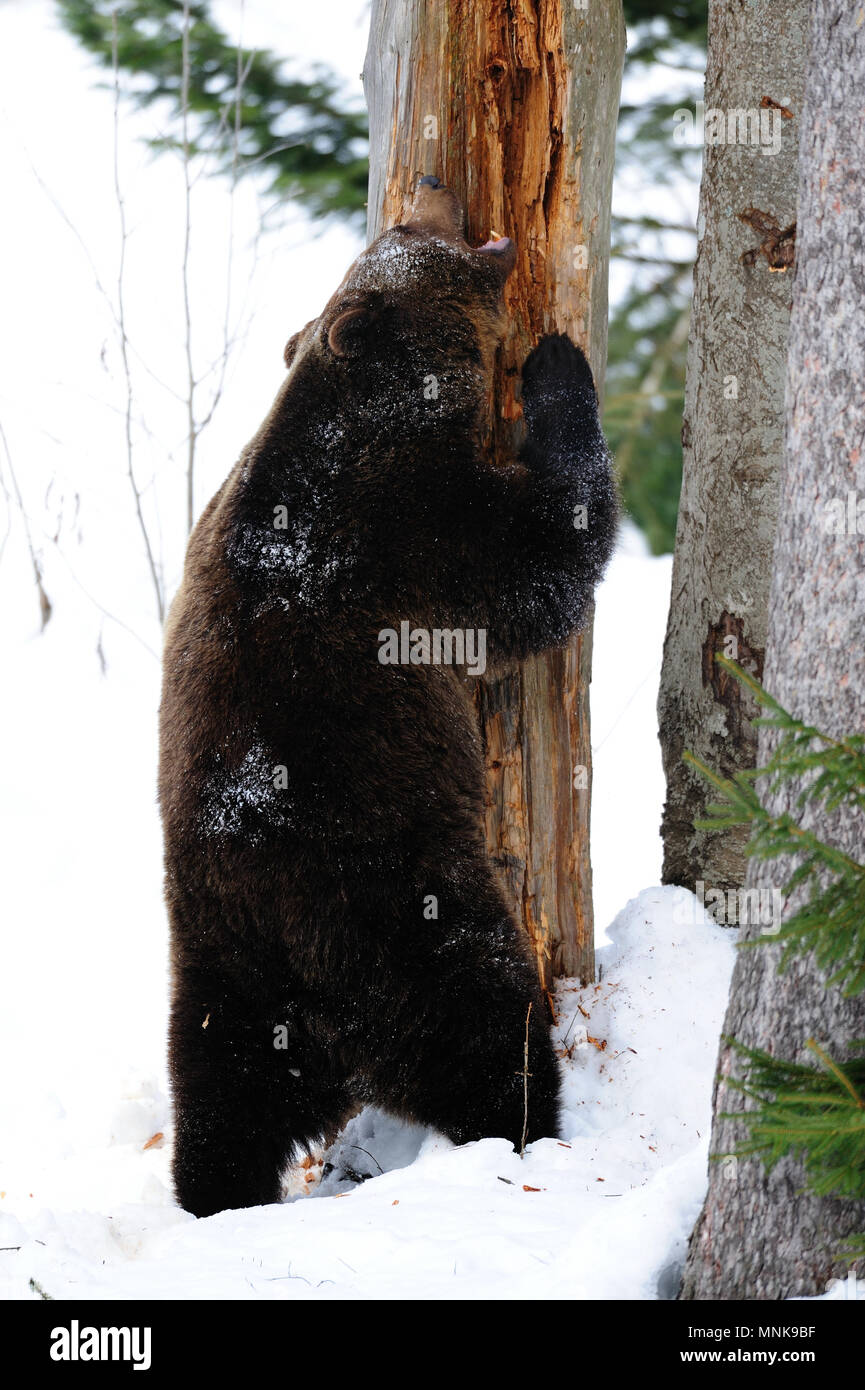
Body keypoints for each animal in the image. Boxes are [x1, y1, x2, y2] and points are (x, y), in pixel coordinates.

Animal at [158, 175, 618, 1218]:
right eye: (407, 230)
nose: (437, 187)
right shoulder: (414, 532)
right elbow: (551, 552)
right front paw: (557, 362)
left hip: (218, 978)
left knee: (217, 1107)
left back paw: (213, 1200)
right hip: (401, 912)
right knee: (484, 1026)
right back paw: (529, 1135)